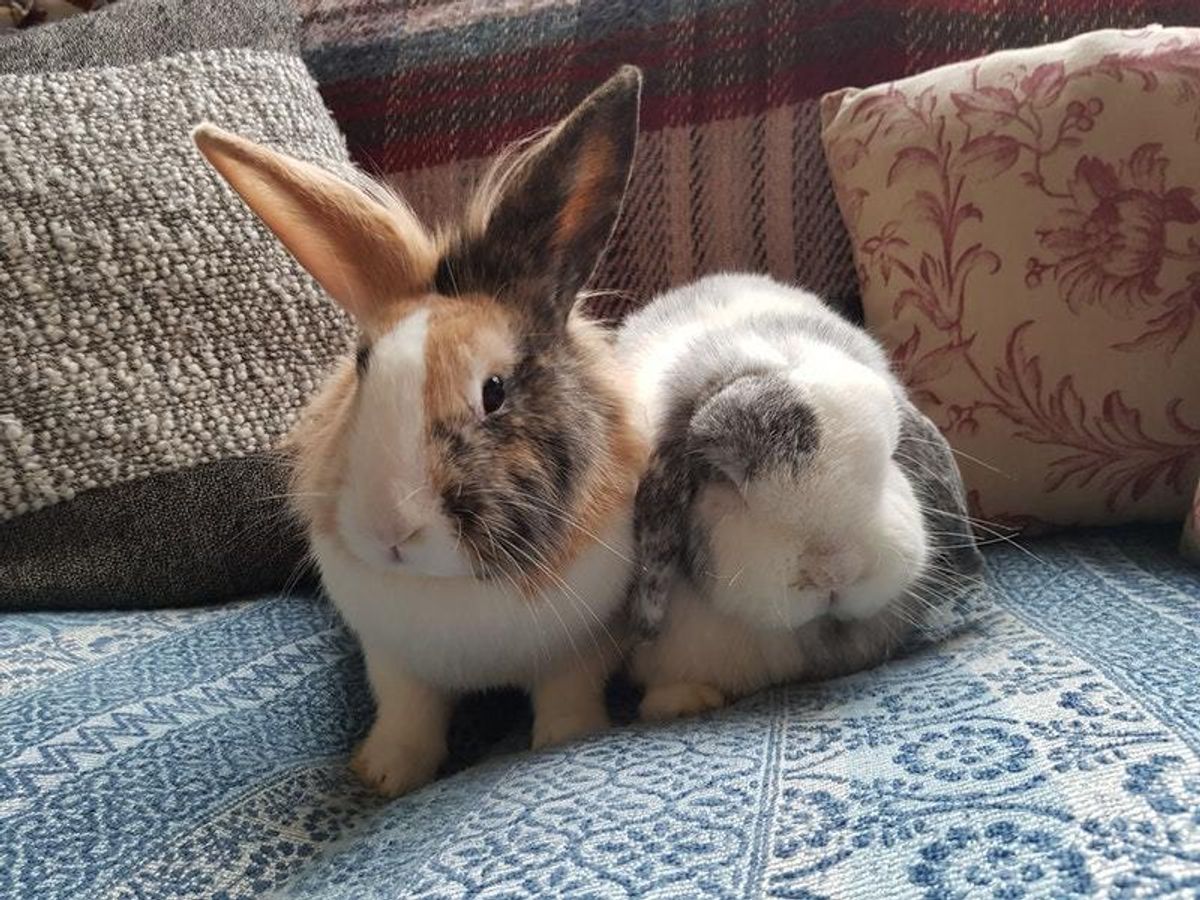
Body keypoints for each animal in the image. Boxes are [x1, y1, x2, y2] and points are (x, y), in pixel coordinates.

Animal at [193, 67, 647, 796]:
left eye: (494, 391)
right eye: (362, 364)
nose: (391, 530)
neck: (452, 588)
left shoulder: (583, 645)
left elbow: (566, 694)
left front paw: (566, 740)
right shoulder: (392, 660)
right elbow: (409, 714)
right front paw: (383, 776)